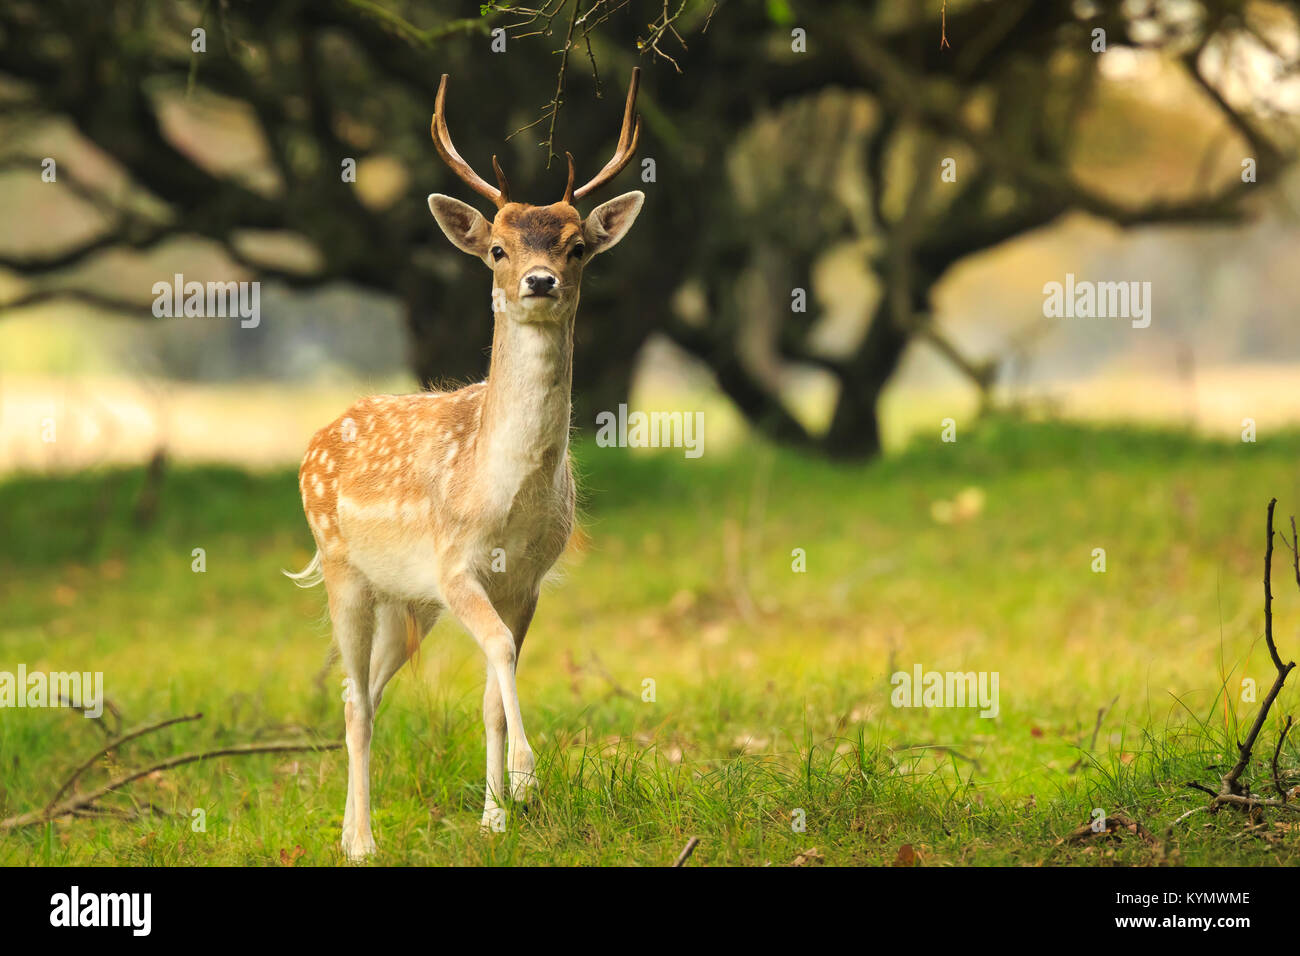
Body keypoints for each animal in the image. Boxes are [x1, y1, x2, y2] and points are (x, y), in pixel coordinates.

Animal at [286, 69, 645, 861]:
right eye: (498, 250)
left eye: (578, 246)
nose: (540, 280)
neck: (501, 500)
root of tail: (314, 442)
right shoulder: (455, 567)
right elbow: (501, 656)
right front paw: (528, 778)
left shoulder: (526, 581)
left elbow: (492, 688)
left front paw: (496, 815)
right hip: (344, 570)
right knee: (354, 702)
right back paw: (361, 842)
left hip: (407, 602)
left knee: (370, 694)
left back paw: (353, 831)